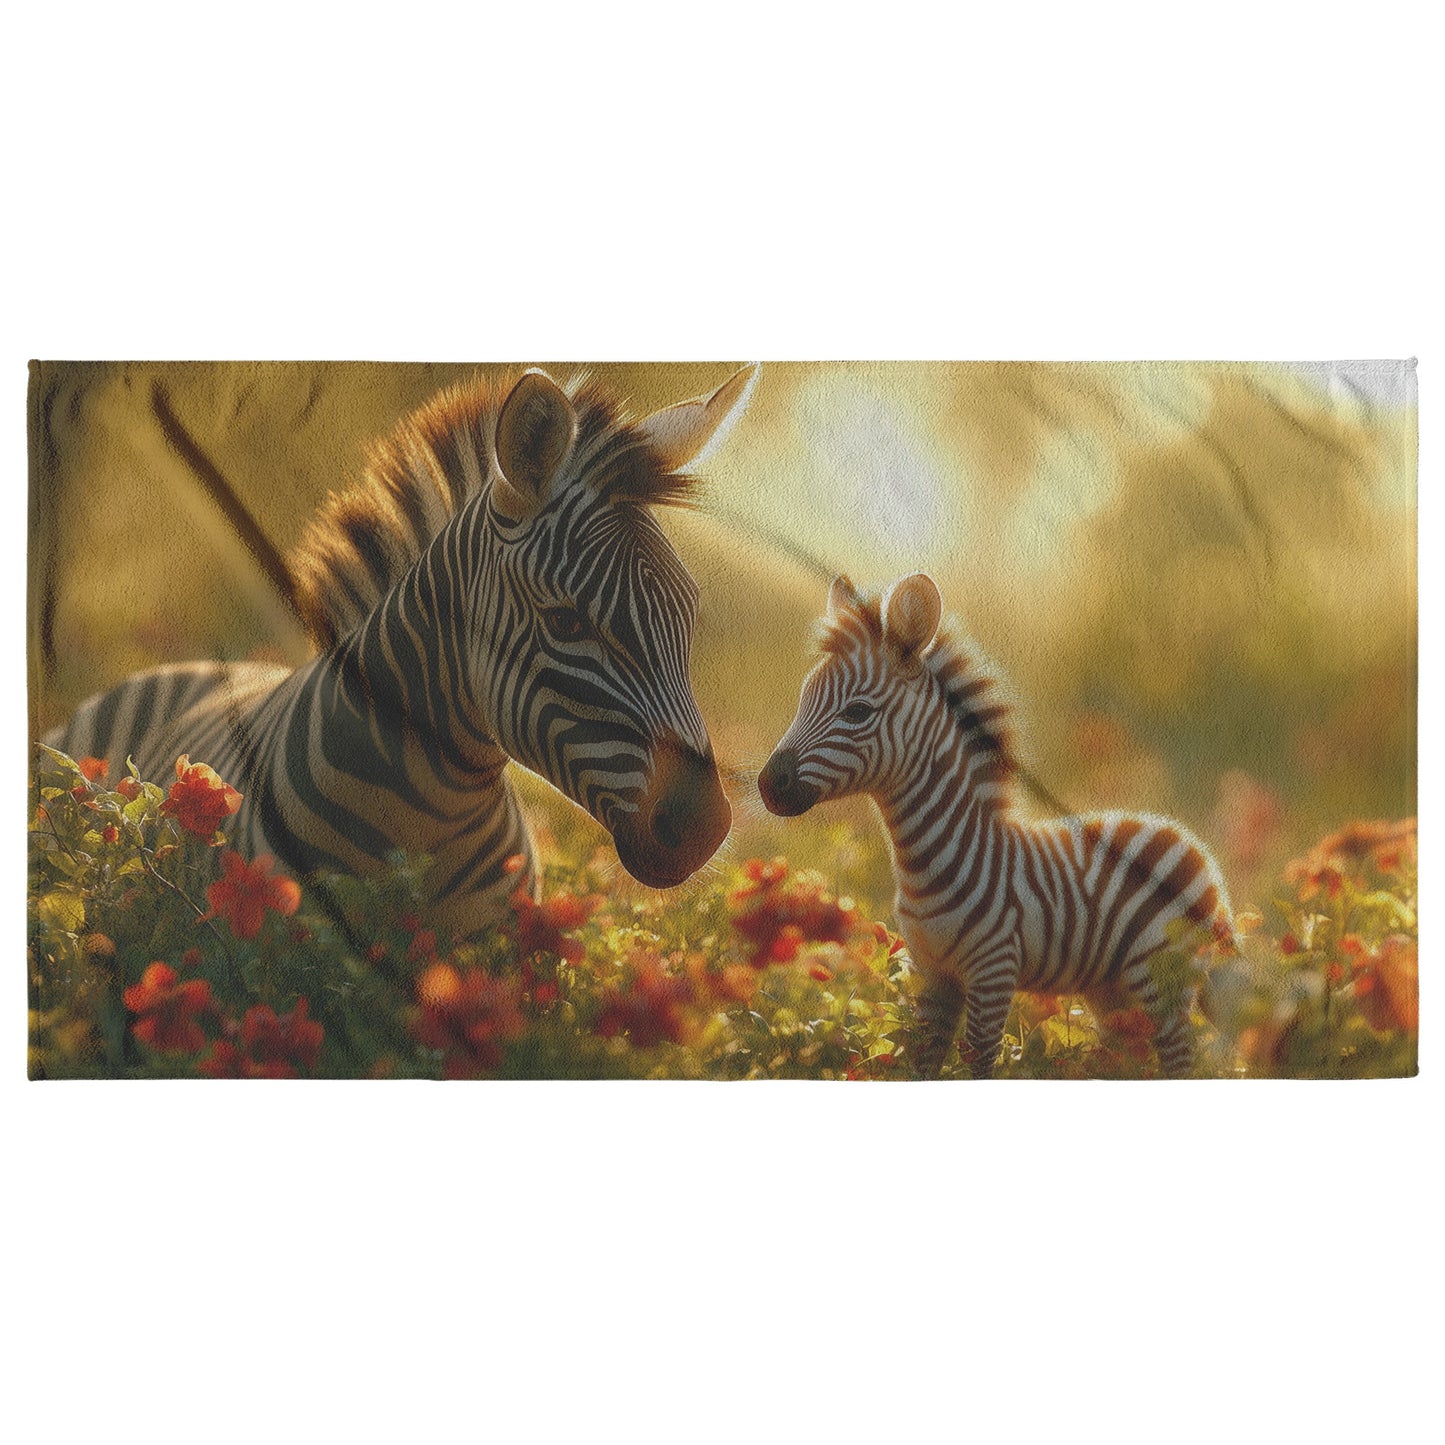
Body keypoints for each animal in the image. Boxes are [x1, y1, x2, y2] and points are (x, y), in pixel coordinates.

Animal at [757, 572, 1232, 1079]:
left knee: (1180, 1057)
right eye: (802, 699)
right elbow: (923, 1060)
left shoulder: (993, 972)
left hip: (1162, 976)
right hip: (1111, 985)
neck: (932, 861)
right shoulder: (933, 974)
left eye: (857, 712)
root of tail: (1190, 842)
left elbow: (981, 1062)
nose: (768, 784)